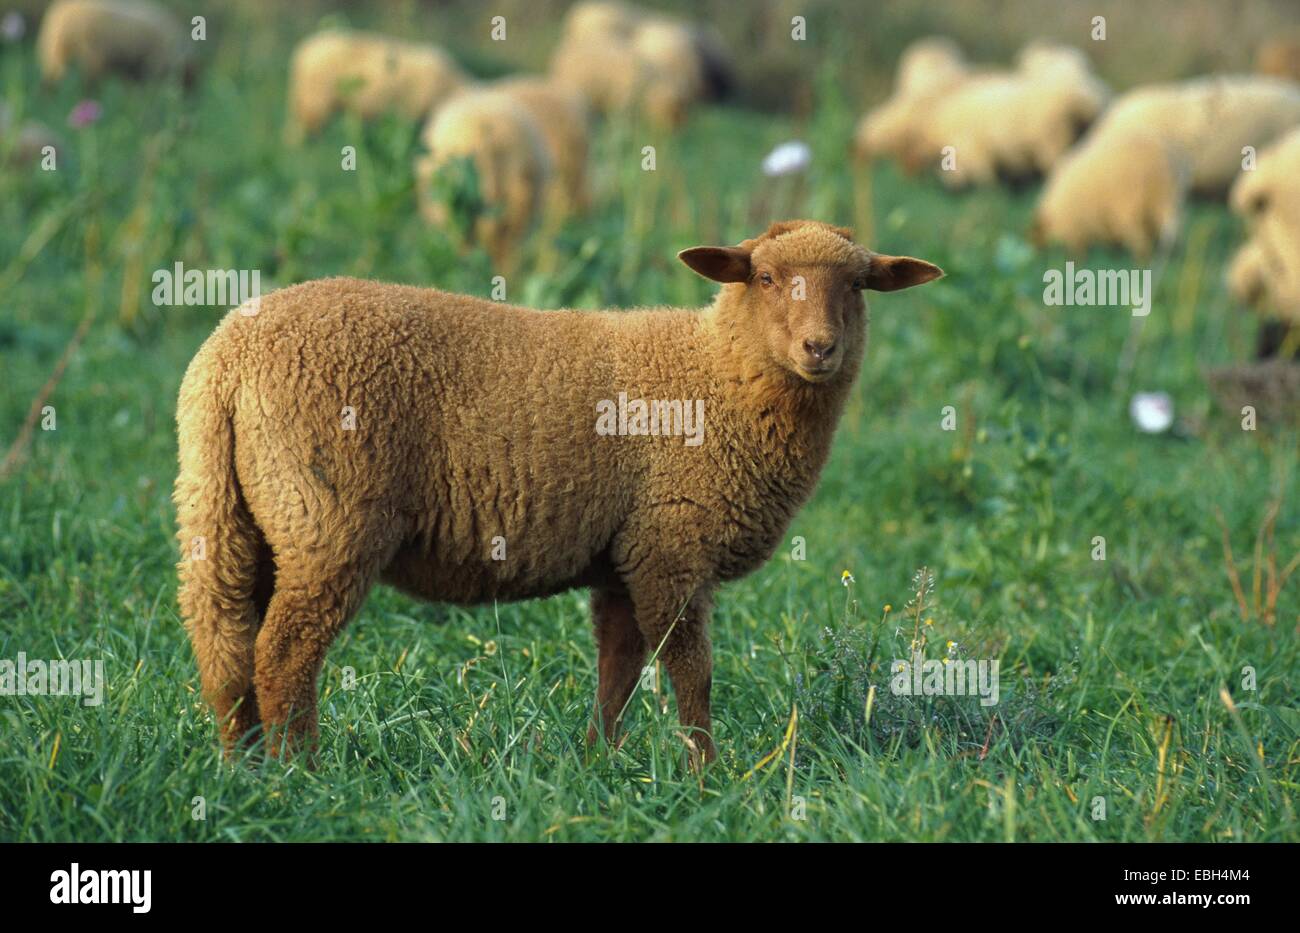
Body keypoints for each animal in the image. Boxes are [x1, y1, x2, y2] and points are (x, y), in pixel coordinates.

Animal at [173, 220, 943, 766]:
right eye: (764, 275)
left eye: (859, 285)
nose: (821, 348)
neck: (714, 373)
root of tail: (225, 363)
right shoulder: (670, 544)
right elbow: (691, 673)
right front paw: (708, 775)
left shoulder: (625, 557)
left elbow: (619, 671)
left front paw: (599, 764)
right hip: (326, 519)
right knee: (282, 654)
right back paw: (301, 774)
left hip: (230, 513)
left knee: (225, 648)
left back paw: (244, 771)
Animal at [1032, 128, 1185, 258]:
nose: (1037, 252)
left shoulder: (1075, 228)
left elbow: (1078, 253)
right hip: (1164, 195)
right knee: (1171, 226)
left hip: (1129, 205)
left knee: (1140, 238)